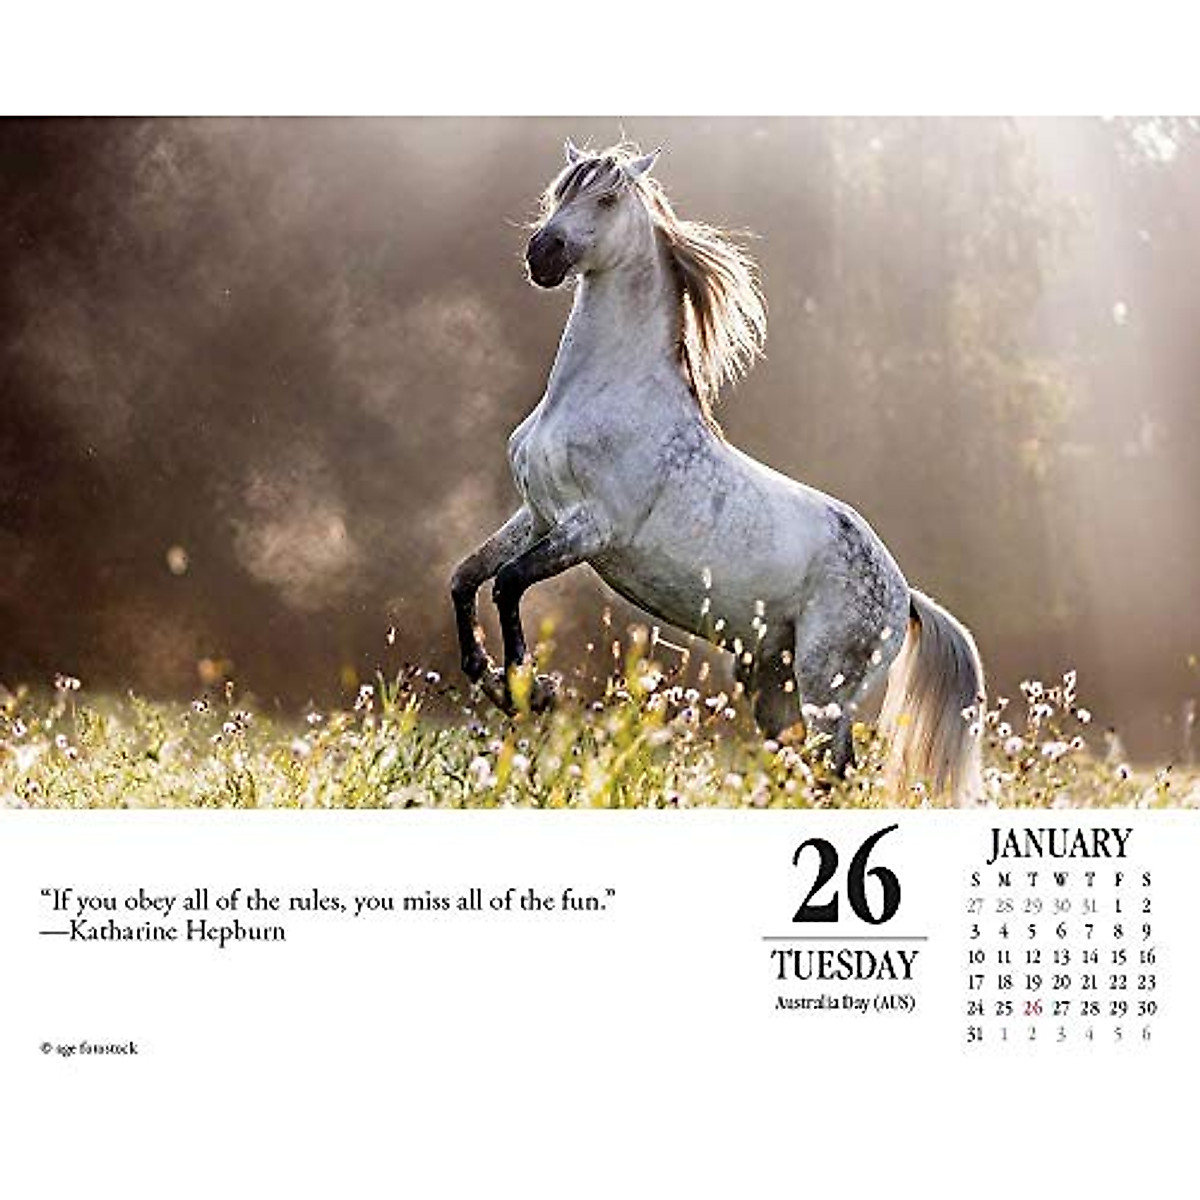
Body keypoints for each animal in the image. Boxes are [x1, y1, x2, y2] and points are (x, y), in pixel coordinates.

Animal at [449, 140, 985, 804]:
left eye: (606, 198)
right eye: (558, 193)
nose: (542, 254)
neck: (600, 392)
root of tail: (904, 595)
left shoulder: (590, 529)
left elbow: (509, 583)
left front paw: (525, 689)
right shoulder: (538, 515)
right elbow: (467, 576)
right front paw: (484, 674)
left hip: (826, 686)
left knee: (834, 769)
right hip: (773, 684)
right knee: (804, 767)